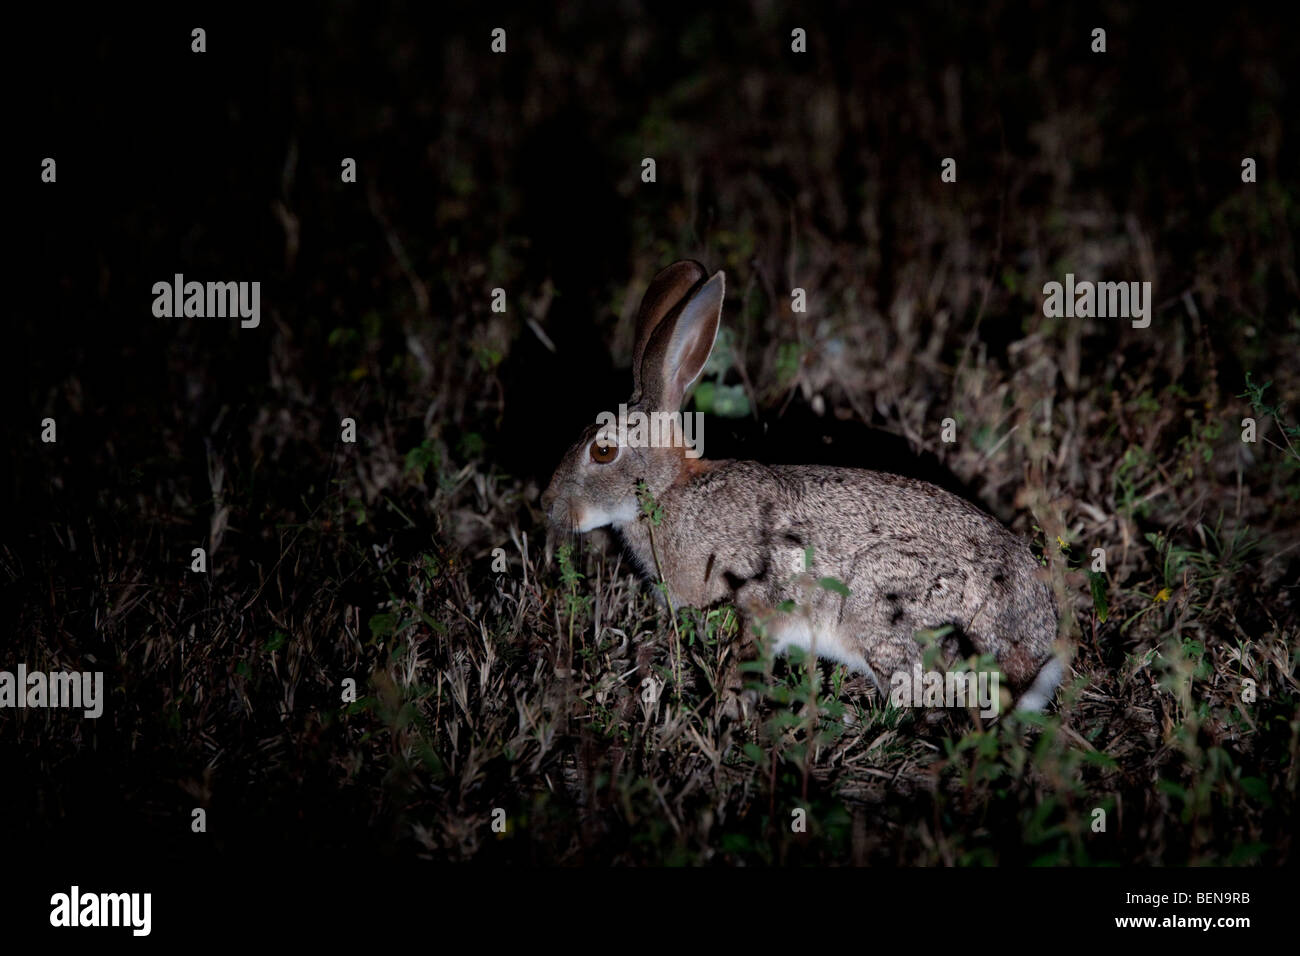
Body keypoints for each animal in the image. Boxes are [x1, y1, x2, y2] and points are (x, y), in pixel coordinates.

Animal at [541, 260, 1064, 715]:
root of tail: (1036, 648)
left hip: (882, 602)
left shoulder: (764, 591)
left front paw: (732, 703)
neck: (669, 491)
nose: (549, 506)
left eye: (603, 452)